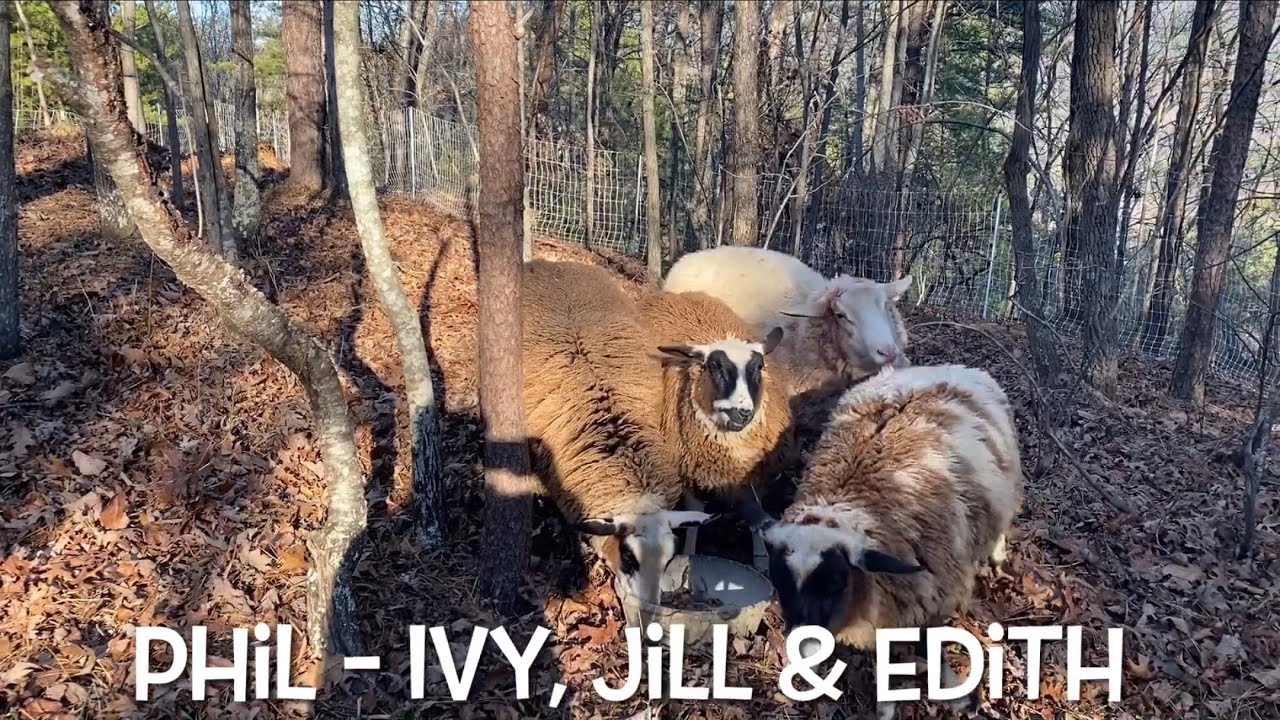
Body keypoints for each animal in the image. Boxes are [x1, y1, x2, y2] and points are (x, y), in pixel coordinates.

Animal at [637, 289, 797, 570]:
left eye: (759, 367)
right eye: (714, 367)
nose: (742, 412)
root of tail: (681, 294)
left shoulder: (755, 473)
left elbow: (756, 516)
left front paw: (761, 560)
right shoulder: (689, 473)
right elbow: (694, 518)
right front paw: (688, 556)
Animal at [743, 364, 1022, 718]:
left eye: (836, 581)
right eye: (779, 583)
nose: (803, 651)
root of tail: (943, 368)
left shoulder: (931, 603)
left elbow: (930, 648)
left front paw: (962, 698)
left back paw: (997, 556)